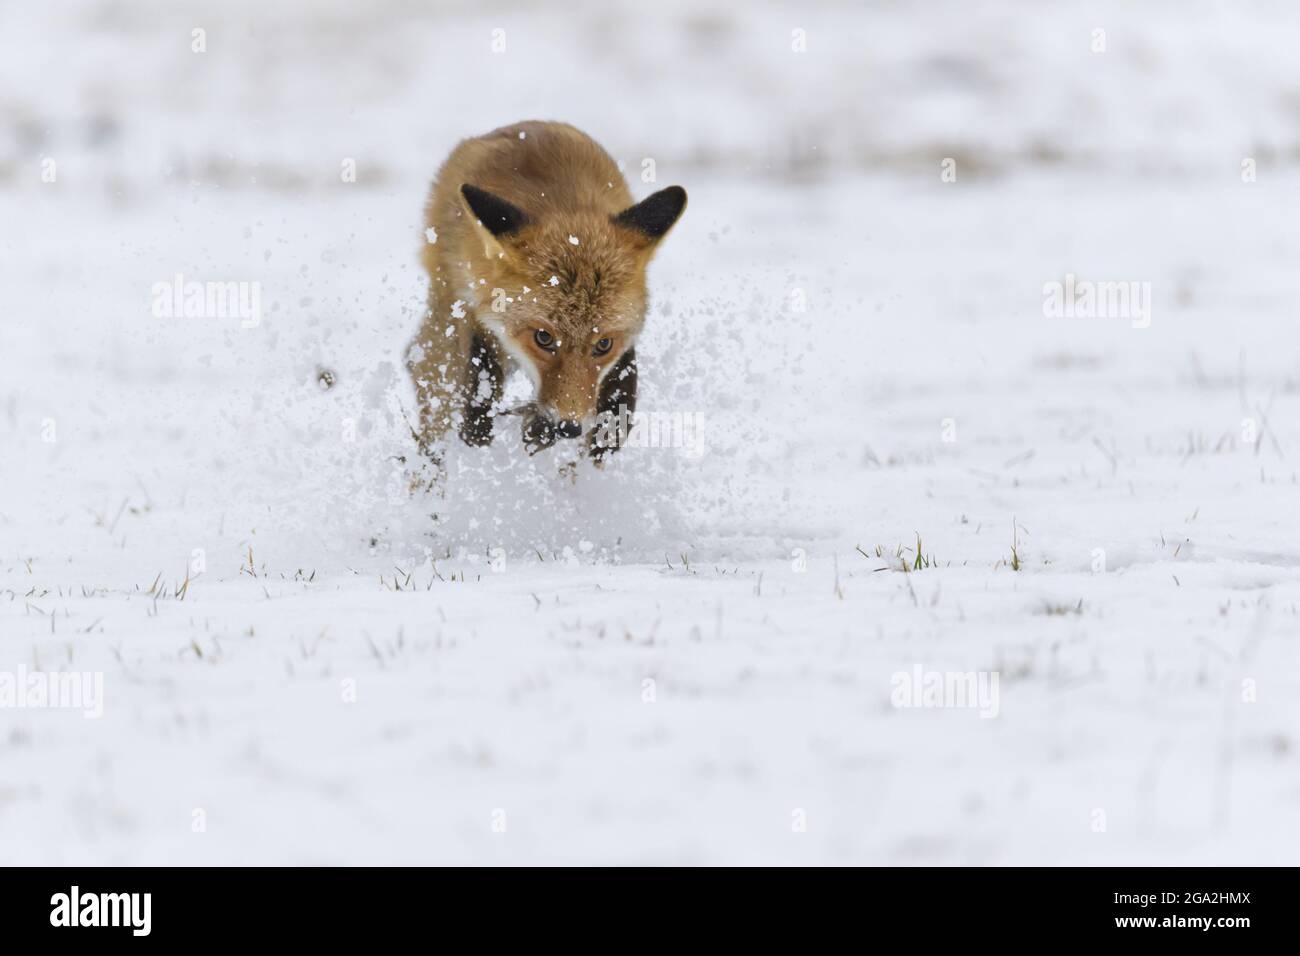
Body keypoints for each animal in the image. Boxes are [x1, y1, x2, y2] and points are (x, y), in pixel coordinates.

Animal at [405, 121, 687, 482]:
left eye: (604, 344)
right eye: (543, 337)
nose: (569, 428)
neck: (561, 203)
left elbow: (620, 403)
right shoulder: (469, 300)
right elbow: (480, 385)